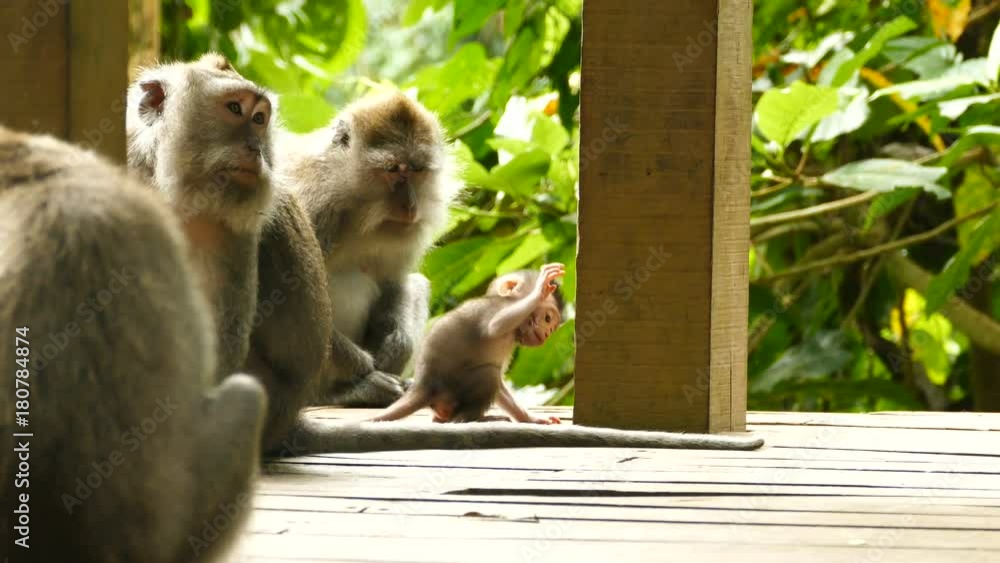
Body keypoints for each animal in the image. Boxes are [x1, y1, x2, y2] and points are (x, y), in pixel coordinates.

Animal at [277, 90, 462, 408]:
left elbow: (395, 281)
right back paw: (341, 392)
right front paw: (361, 367)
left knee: (417, 284)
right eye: (393, 170)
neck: (355, 212)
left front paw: (398, 344)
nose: (410, 205)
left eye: (417, 170)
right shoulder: (308, 205)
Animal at [372, 264, 568, 425]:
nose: (547, 333)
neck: (514, 332)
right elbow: (495, 326)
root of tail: (423, 387)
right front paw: (539, 290)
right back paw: (471, 417)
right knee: (488, 374)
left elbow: (501, 387)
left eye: (552, 327)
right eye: (547, 318)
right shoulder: (495, 310)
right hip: (450, 394)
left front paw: (531, 418)